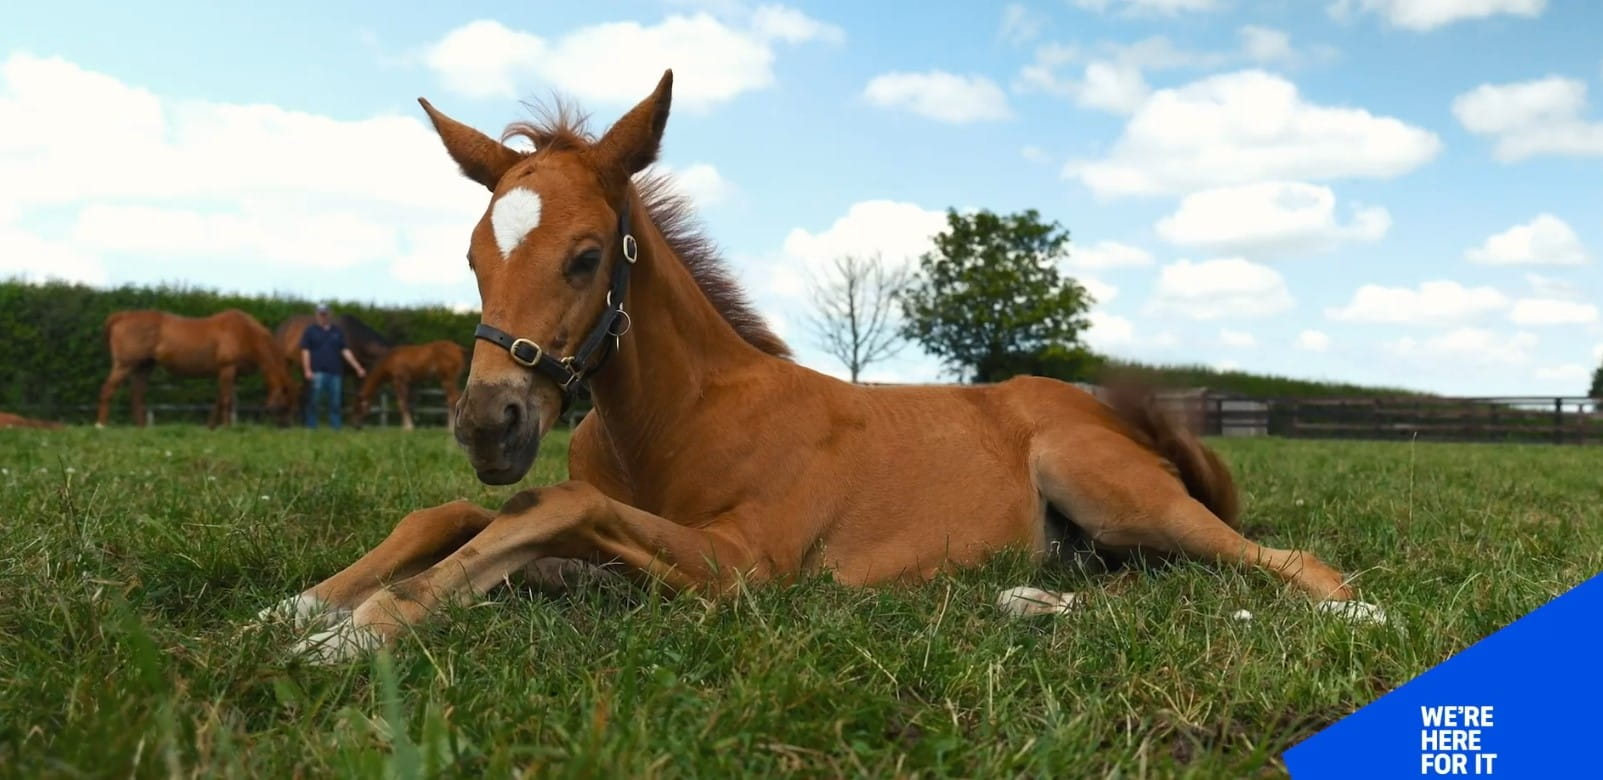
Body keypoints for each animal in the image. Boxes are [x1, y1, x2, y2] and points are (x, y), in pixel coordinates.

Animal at [98, 309, 294, 428]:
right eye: (285, 403)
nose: (285, 426)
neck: (245, 332)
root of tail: (122, 316)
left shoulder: (228, 373)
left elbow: (220, 400)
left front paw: (212, 427)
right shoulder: (227, 369)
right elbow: (227, 400)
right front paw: (226, 427)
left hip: (143, 368)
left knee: (137, 395)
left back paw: (141, 427)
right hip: (124, 365)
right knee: (108, 390)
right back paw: (101, 425)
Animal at [258, 71, 1382, 662]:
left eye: (584, 256)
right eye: (474, 257)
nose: (489, 424)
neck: (677, 420)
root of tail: (1107, 414)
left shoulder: (746, 567)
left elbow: (548, 506)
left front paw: (359, 630)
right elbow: (462, 514)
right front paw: (303, 604)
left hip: (1101, 483)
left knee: (1275, 560)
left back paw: (1353, 609)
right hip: (1098, 541)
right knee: (1132, 583)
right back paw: (1025, 602)